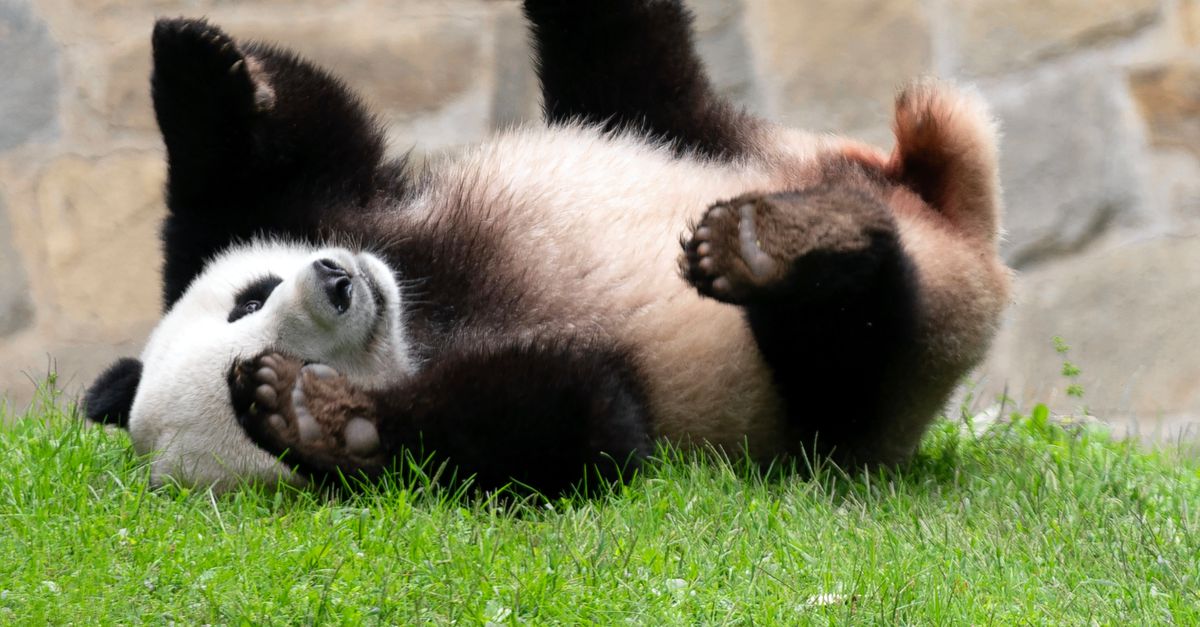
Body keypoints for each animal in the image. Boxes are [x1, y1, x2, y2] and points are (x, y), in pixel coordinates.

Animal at [84, 0, 1012, 495]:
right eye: (265, 333)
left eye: (249, 297)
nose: (337, 281)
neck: (424, 309)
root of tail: (957, 225)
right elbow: (586, 423)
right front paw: (318, 416)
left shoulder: (348, 209)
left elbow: (291, 155)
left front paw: (197, 66)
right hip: (854, 397)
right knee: (852, 345)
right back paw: (784, 249)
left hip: (701, 134)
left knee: (627, 63)